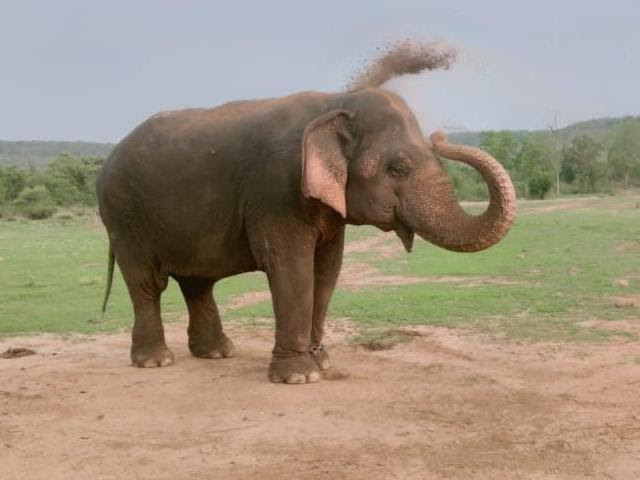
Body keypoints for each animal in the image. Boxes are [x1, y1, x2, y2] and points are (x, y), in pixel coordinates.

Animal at [97, 84, 516, 384]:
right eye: (398, 169)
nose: (443, 134)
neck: (337, 101)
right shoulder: (276, 190)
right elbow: (291, 268)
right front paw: (299, 377)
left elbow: (326, 271)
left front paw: (323, 363)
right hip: (123, 217)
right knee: (147, 283)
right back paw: (156, 362)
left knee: (197, 282)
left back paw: (217, 354)